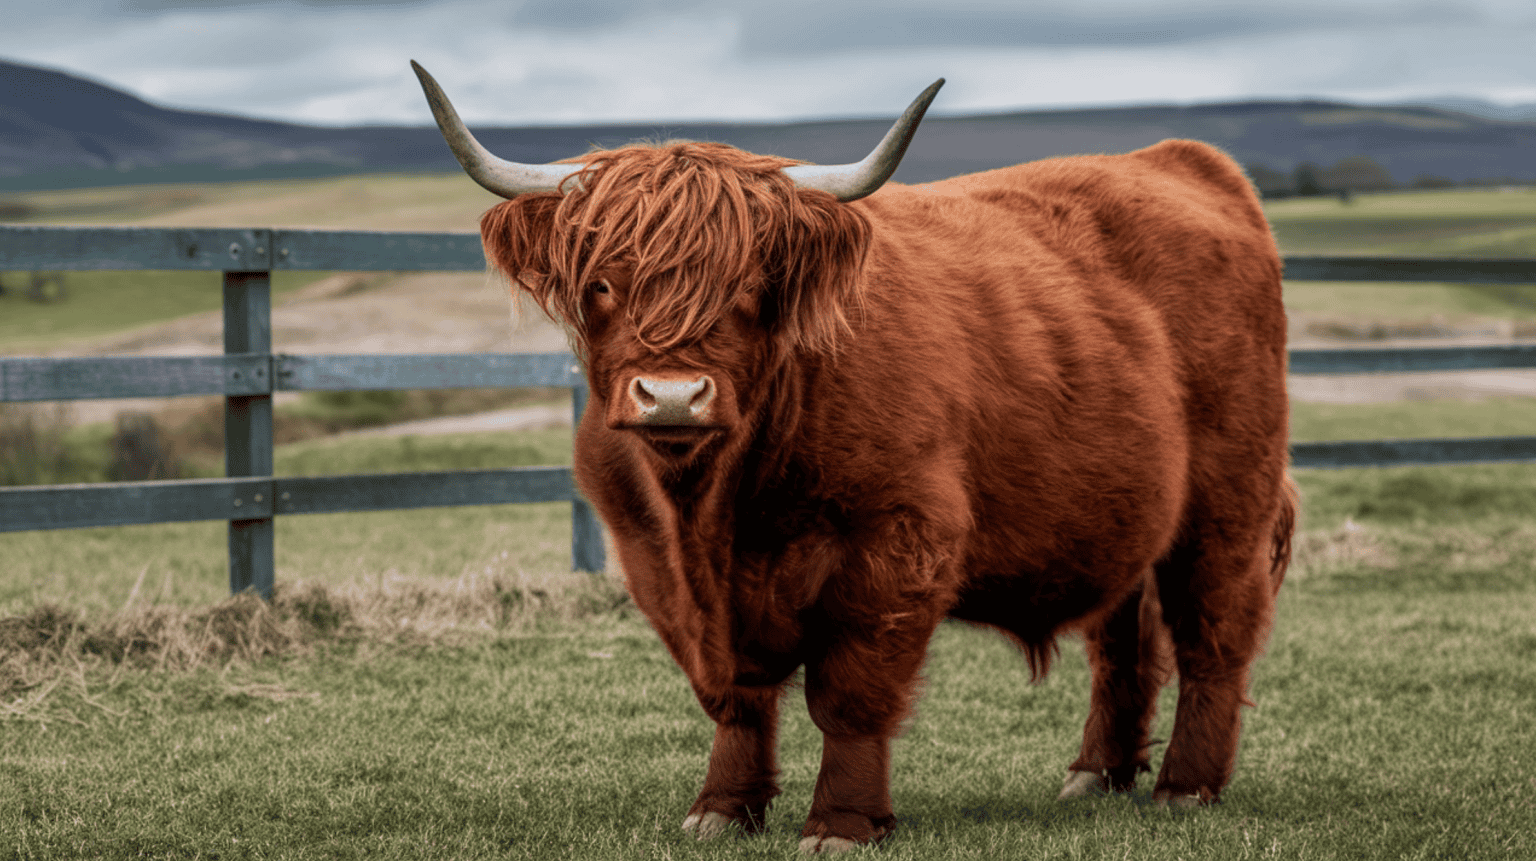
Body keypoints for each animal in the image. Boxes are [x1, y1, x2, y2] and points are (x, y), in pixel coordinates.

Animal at [412, 62, 1295, 853]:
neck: (716, 509)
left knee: (1215, 630)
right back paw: (1094, 774)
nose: (671, 395)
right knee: (1122, 638)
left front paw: (842, 822)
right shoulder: (653, 561)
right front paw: (723, 807)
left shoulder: (897, 541)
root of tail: (1178, 159)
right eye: (600, 283)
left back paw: (1186, 785)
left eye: (750, 284)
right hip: (1120, 510)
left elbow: (851, 693)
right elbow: (735, 695)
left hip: (1228, 500)